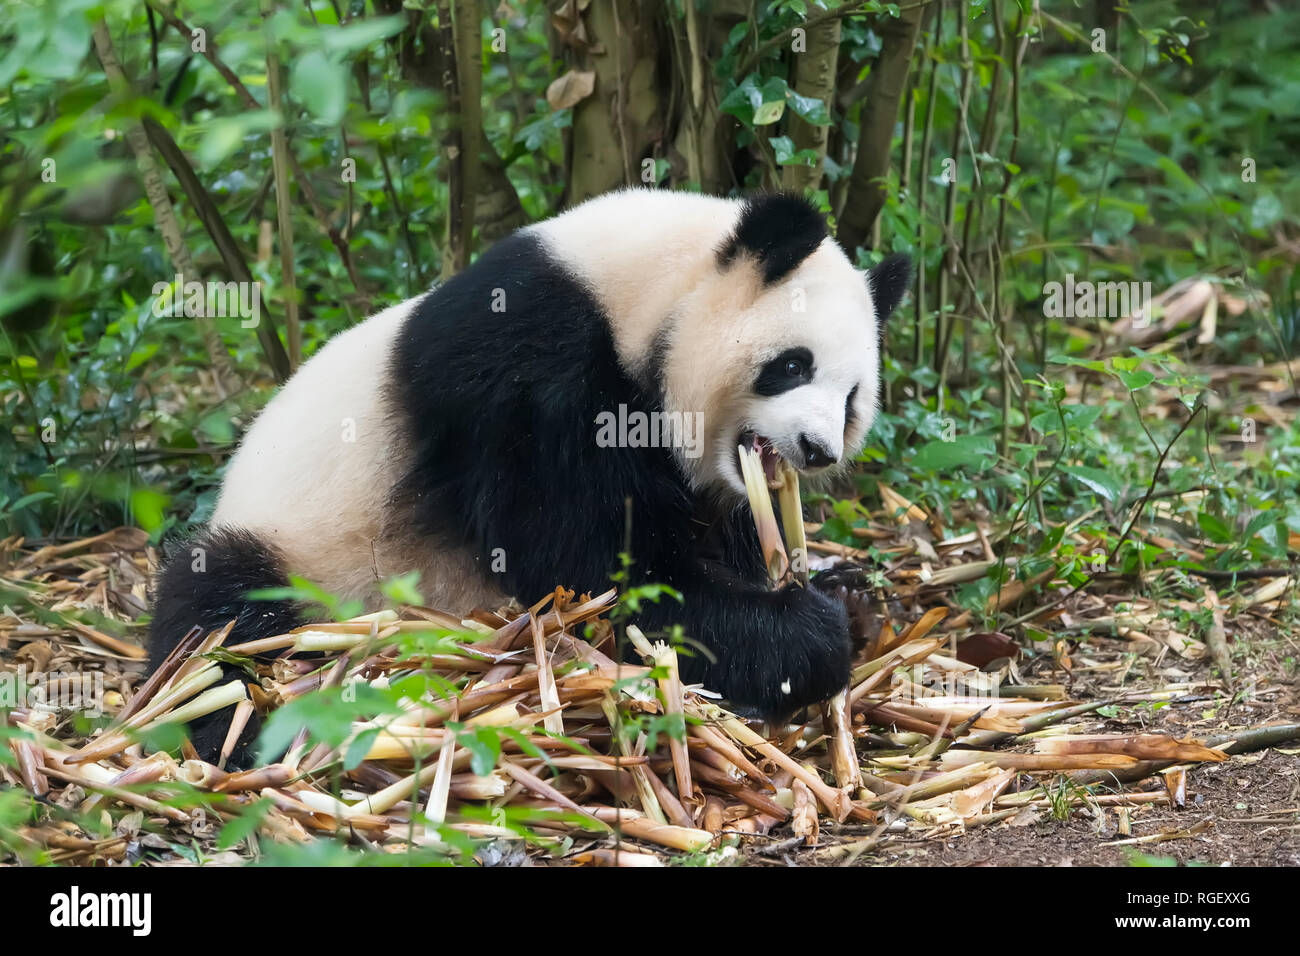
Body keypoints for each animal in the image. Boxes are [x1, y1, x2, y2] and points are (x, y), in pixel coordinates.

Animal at [150, 189, 911, 761]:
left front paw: (849, 596)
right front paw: (808, 634)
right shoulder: (527, 368)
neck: (640, 289)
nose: (818, 449)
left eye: (852, 399)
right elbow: (581, 568)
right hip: (301, 552)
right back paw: (239, 727)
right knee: (217, 621)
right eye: (793, 365)